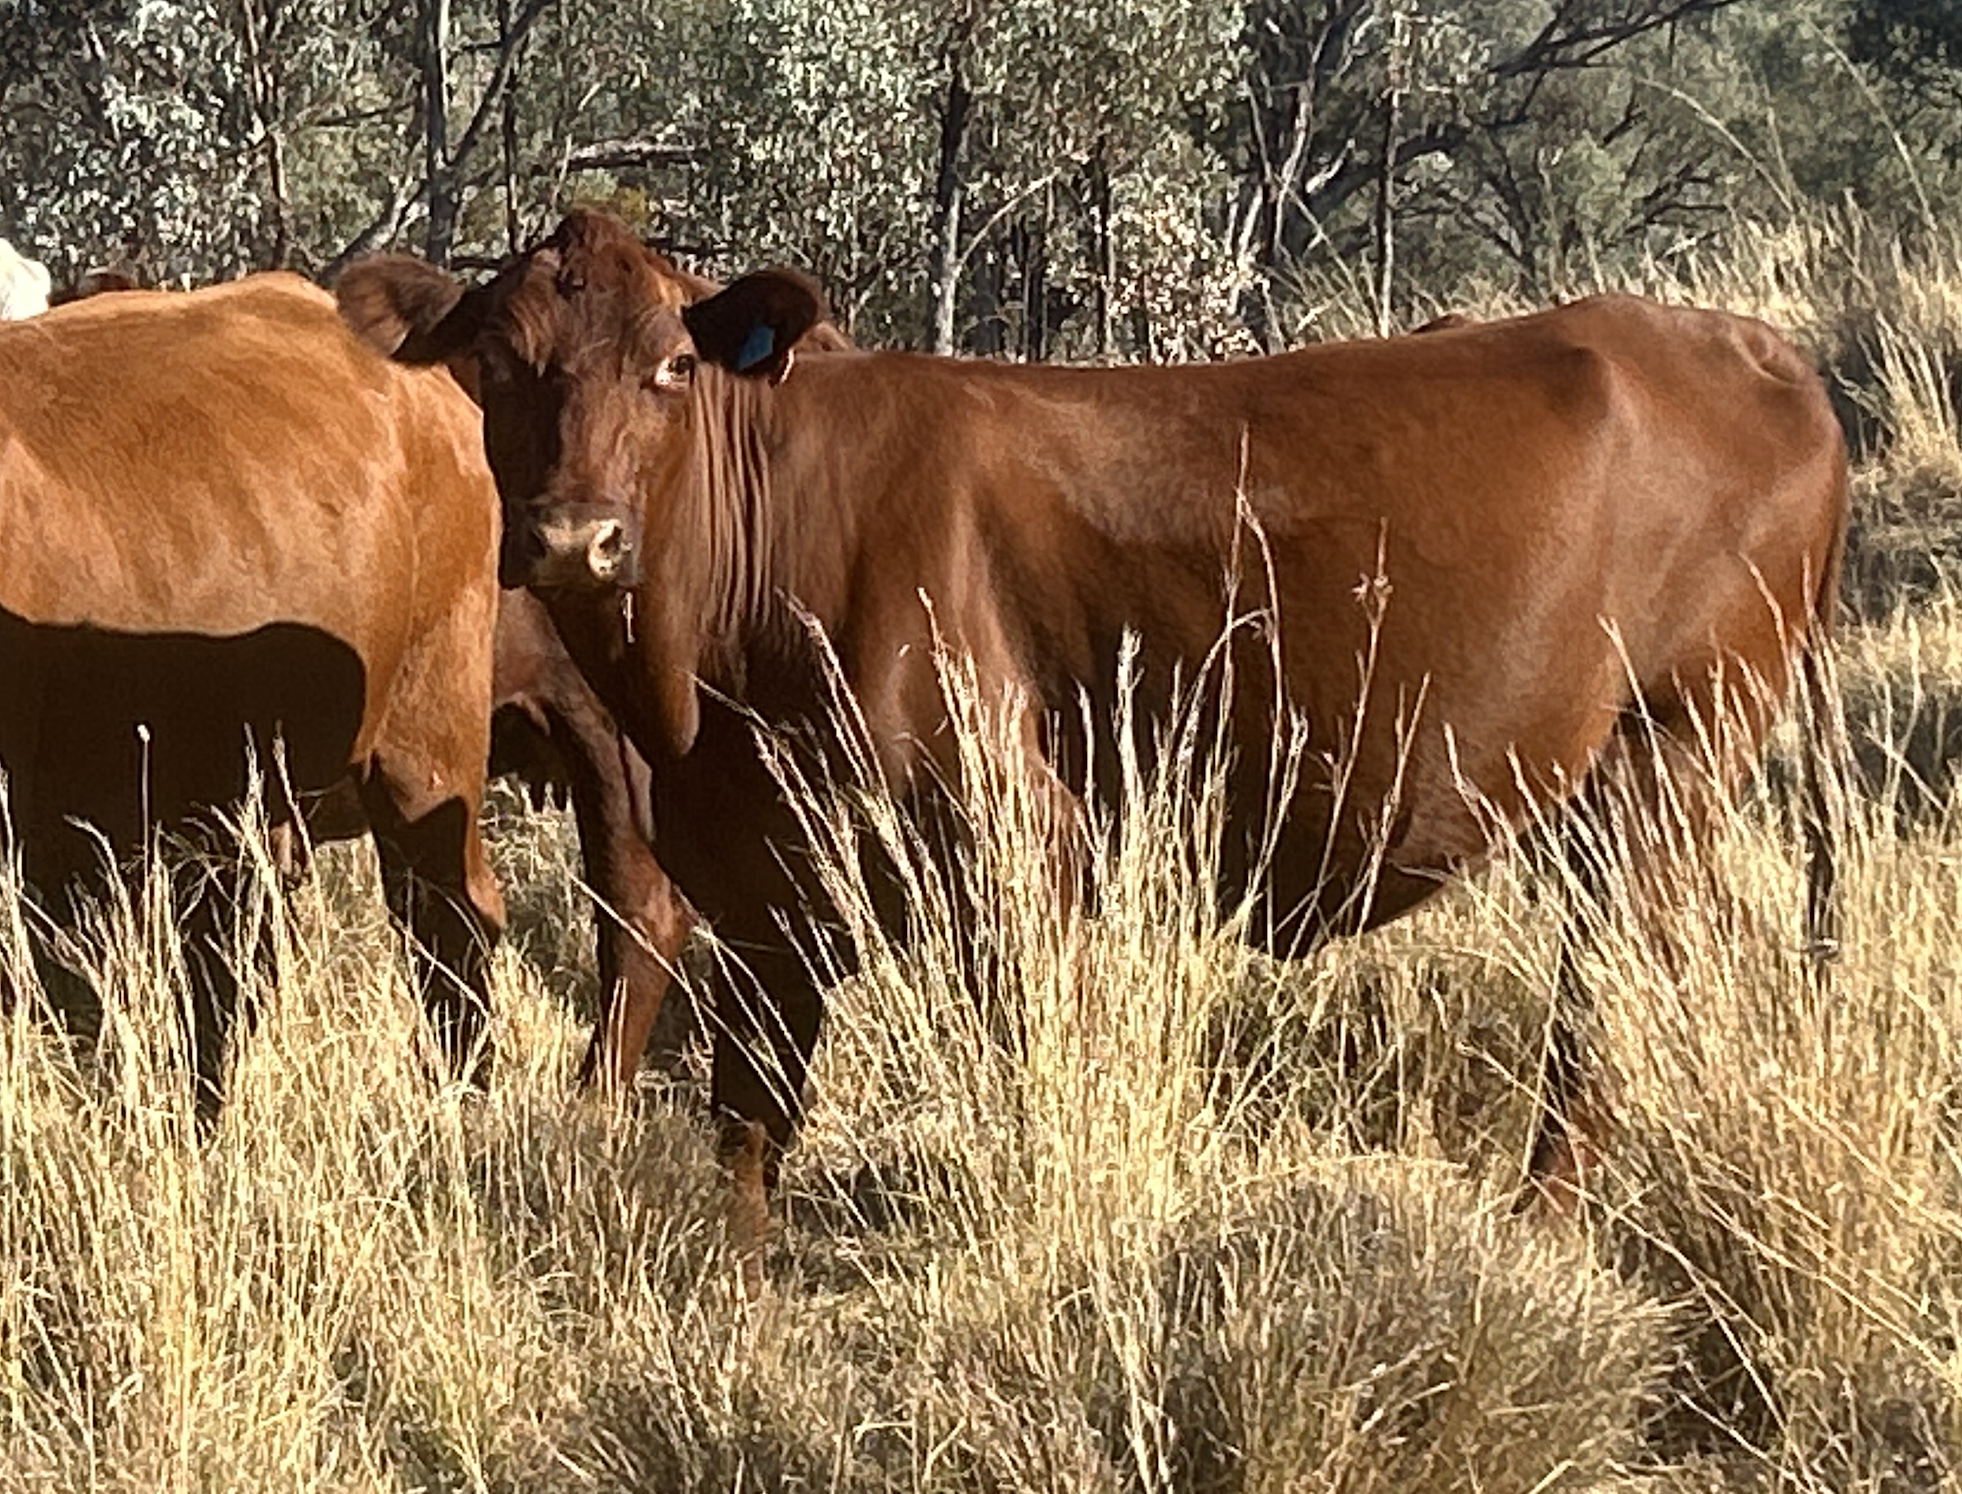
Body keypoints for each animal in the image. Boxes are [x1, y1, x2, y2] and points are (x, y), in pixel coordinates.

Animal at [340, 208, 1849, 1256]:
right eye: (494, 367)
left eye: (665, 369)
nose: (573, 538)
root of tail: (1758, 349)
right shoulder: (765, 882)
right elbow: (746, 1121)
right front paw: (737, 1288)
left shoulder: (1022, 845)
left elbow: (1030, 1073)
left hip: (1670, 753)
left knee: (1606, 1006)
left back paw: (1534, 1233)